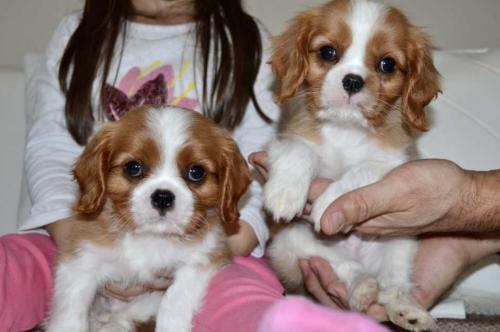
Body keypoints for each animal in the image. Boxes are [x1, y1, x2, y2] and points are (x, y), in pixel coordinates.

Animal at [46, 106, 250, 332]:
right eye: (133, 167)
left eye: (196, 172)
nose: (162, 197)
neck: (151, 237)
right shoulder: (82, 258)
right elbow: (71, 311)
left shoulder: (205, 257)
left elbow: (175, 299)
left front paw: (171, 326)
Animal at [264, 1, 440, 330]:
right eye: (328, 52)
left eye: (387, 65)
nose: (353, 81)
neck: (346, 129)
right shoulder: (284, 140)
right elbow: (298, 151)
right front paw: (284, 194)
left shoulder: (396, 162)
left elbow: (364, 170)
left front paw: (331, 200)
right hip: (292, 242)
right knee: (347, 268)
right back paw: (362, 289)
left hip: (401, 241)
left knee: (394, 283)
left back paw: (404, 309)